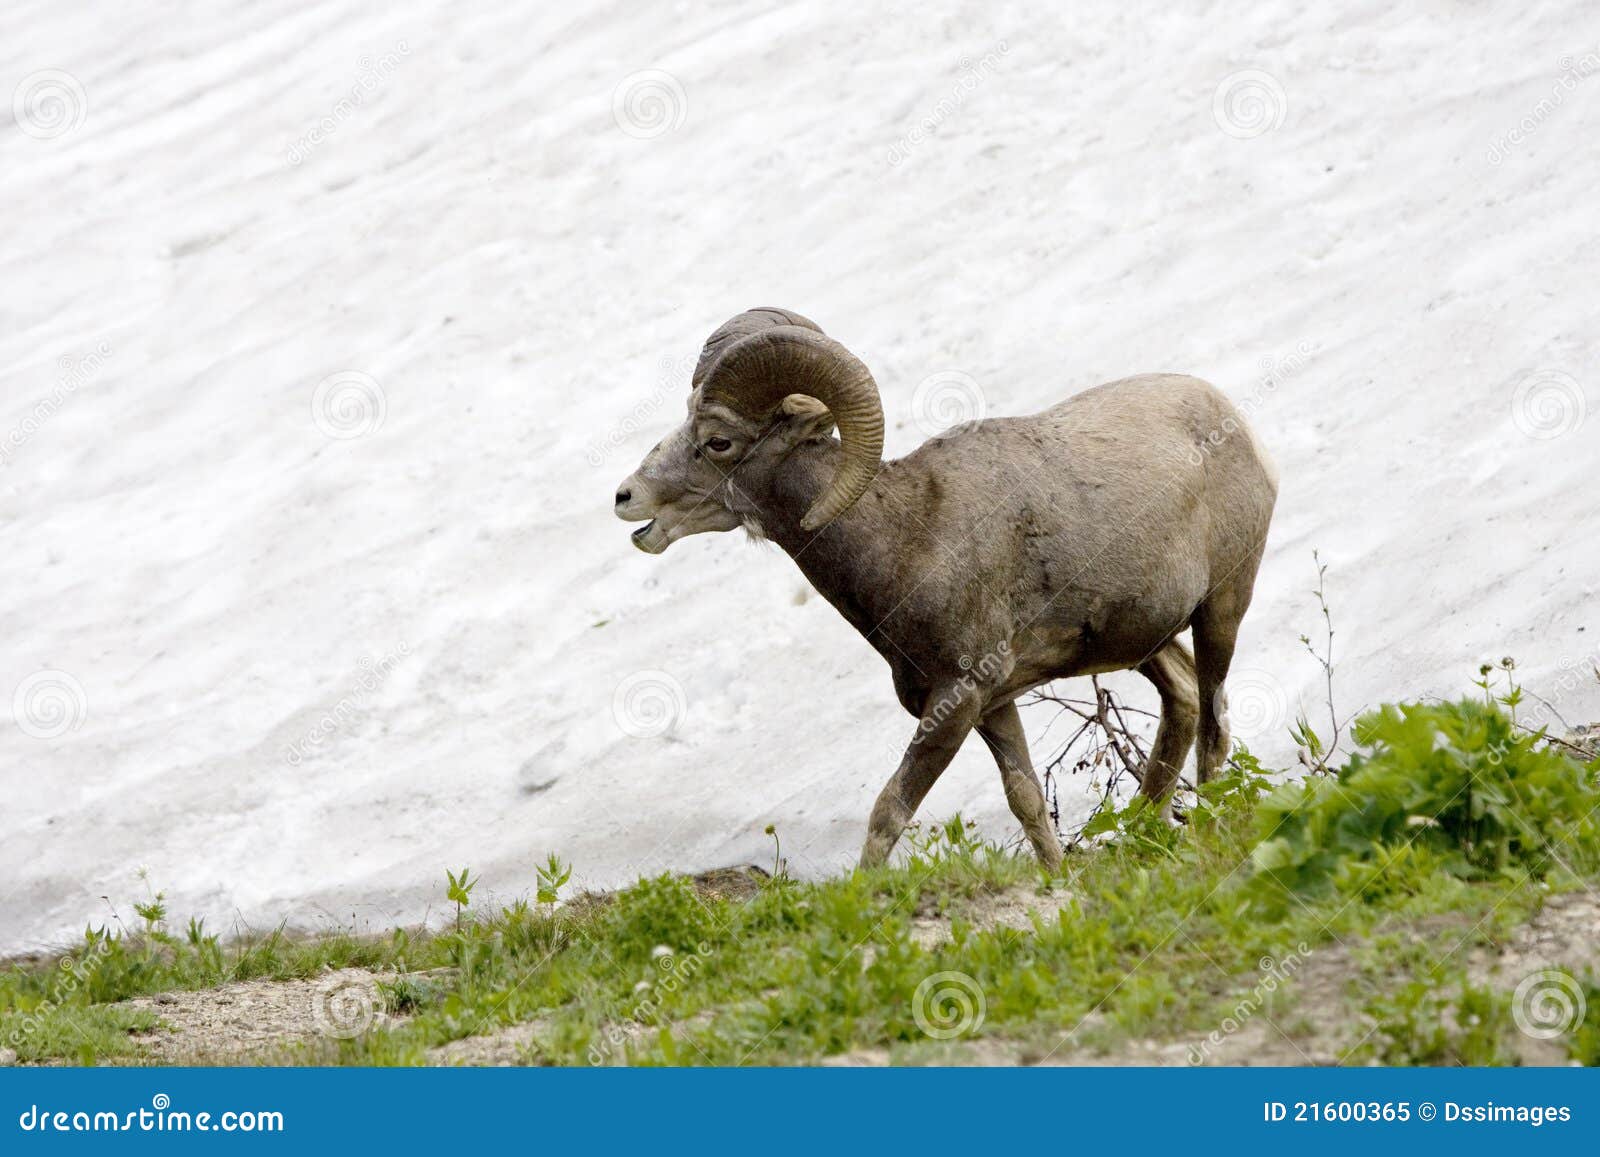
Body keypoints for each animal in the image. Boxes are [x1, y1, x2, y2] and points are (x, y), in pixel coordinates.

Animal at [614, 307, 1278, 869]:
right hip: (1144, 642)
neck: (906, 538)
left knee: (1214, 726)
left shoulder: (954, 702)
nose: (626, 498)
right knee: (1183, 701)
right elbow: (1025, 801)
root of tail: (1233, 420)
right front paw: (1057, 881)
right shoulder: (995, 703)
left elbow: (889, 810)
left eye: (718, 441)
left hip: (1222, 609)